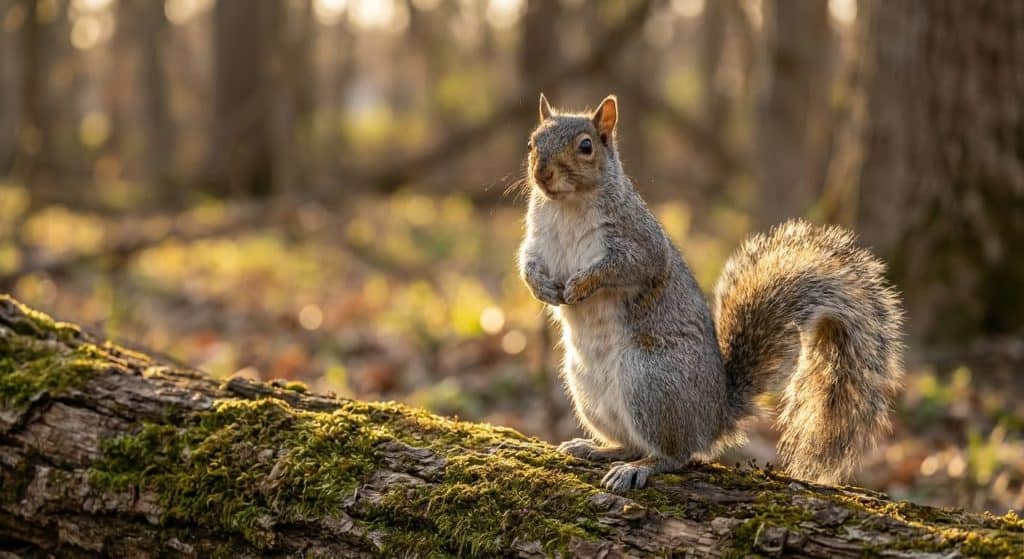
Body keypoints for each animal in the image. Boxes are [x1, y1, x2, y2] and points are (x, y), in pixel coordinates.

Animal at [517, 93, 904, 492]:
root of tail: (714, 416)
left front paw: (581, 284)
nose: (542, 174)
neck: (568, 205)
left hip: (650, 381)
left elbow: (624, 267)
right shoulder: (538, 238)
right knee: (631, 442)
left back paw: (639, 467)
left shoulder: (640, 243)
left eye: (586, 146)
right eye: (532, 142)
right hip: (588, 392)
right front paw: (541, 287)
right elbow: (527, 261)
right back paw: (597, 448)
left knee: (675, 454)